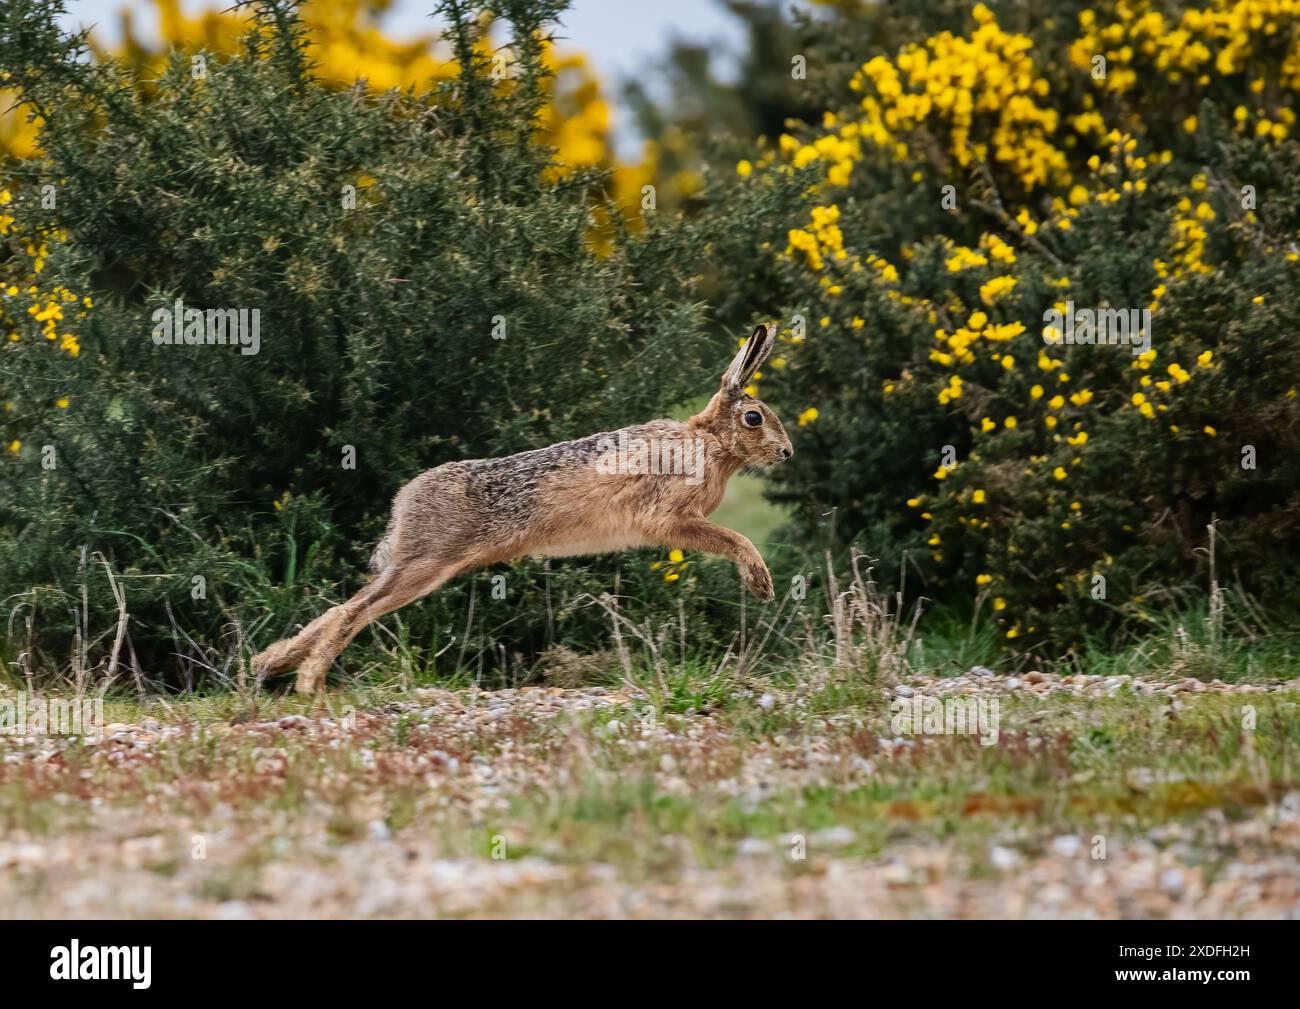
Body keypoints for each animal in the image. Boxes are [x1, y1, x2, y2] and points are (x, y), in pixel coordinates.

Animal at [252, 322, 793, 694]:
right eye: (753, 418)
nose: (787, 454)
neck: (710, 443)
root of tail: (403, 503)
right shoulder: (670, 518)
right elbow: (735, 539)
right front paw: (761, 584)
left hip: (419, 564)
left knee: (343, 605)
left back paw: (269, 664)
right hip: (428, 563)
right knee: (354, 611)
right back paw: (308, 682)